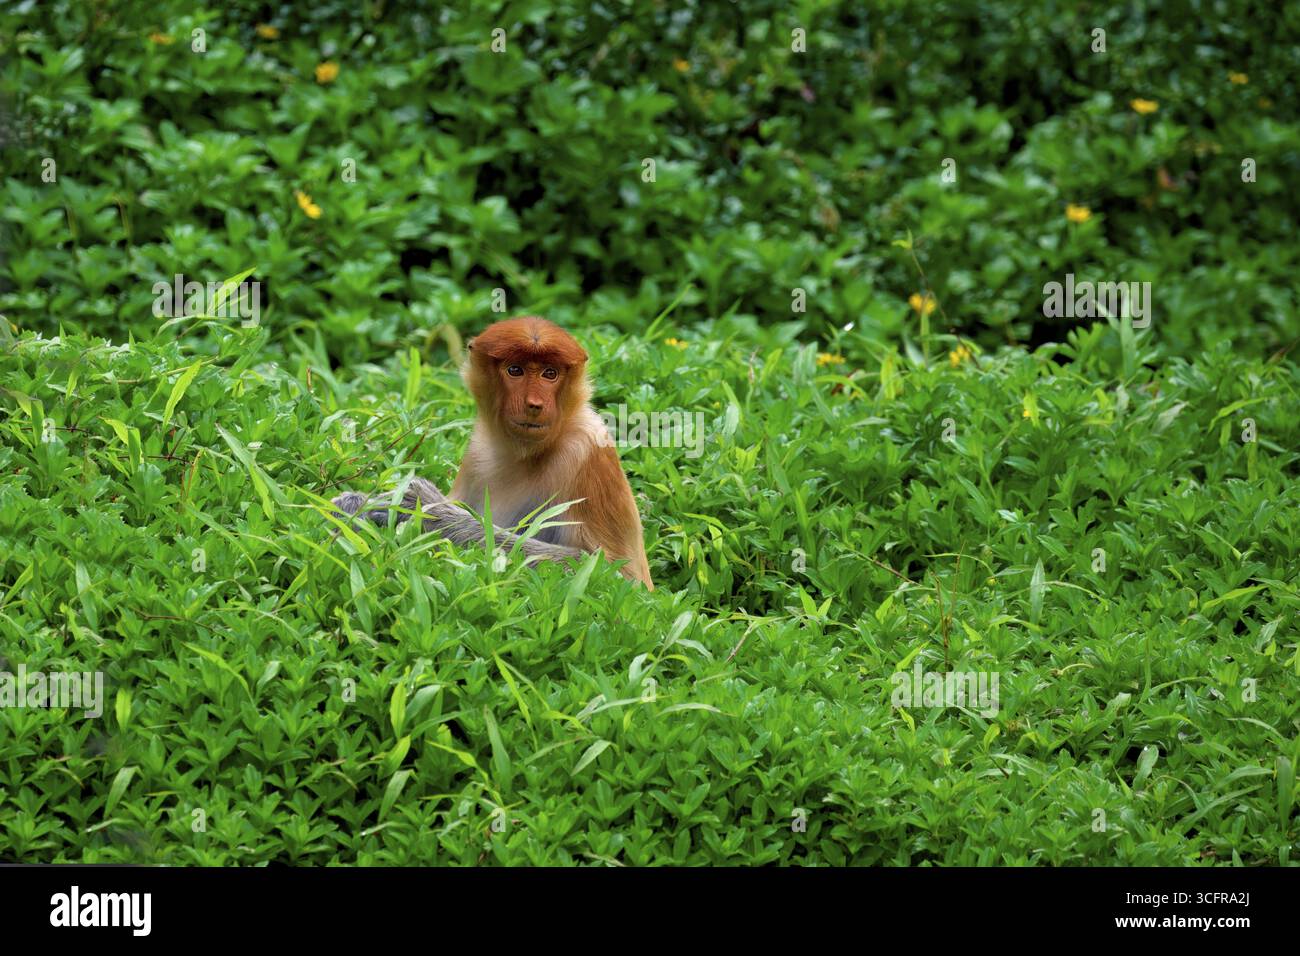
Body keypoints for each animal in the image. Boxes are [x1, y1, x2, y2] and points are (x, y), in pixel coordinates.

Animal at [332, 316, 654, 589]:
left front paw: (426, 509)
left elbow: (619, 579)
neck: (527, 453)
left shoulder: (588, 452)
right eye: (515, 370)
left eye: (550, 373)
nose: (534, 404)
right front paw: (353, 503)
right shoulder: (477, 452)